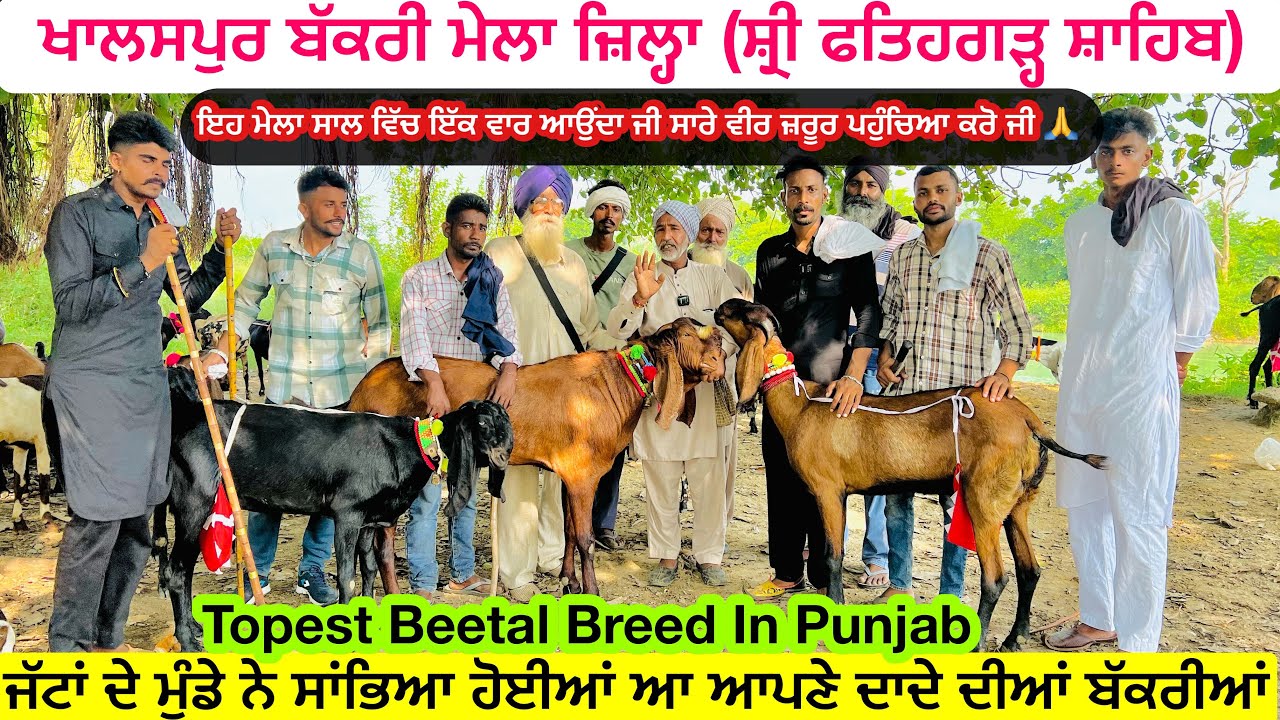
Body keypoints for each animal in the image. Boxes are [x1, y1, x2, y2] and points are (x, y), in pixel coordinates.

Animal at [0, 376, 57, 532]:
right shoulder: (37, 441)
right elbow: (40, 480)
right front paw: (46, 518)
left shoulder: (27, 443)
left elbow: (21, 483)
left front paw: (20, 522)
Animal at [154, 365, 513, 651]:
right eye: (482, 423)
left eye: (505, 420)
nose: (506, 452)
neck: (407, 444)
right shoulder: (348, 513)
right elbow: (346, 577)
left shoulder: (370, 520)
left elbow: (368, 569)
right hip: (195, 501)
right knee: (176, 571)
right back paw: (188, 641)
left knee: (181, 569)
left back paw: (195, 627)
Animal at [347, 317, 728, 597]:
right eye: (688, 334)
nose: (721, 352)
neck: (617, 385)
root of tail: (361, 388)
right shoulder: (584, 473)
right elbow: (586, 538)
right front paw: (592, 591)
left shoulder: (570, 474)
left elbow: (571, 532)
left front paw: (569, 581)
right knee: (383, 543)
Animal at [715, 299, 1107, 651]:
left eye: (739, 312)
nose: (718, 308)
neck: (803, 404)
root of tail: (1029, 420)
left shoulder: (829, 491)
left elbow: (832, 555)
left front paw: (834, 611)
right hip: (1018, 502)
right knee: (1030, 570)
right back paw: (1015, 639)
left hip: (984, 499)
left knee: (997, 577)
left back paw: (980, 644)